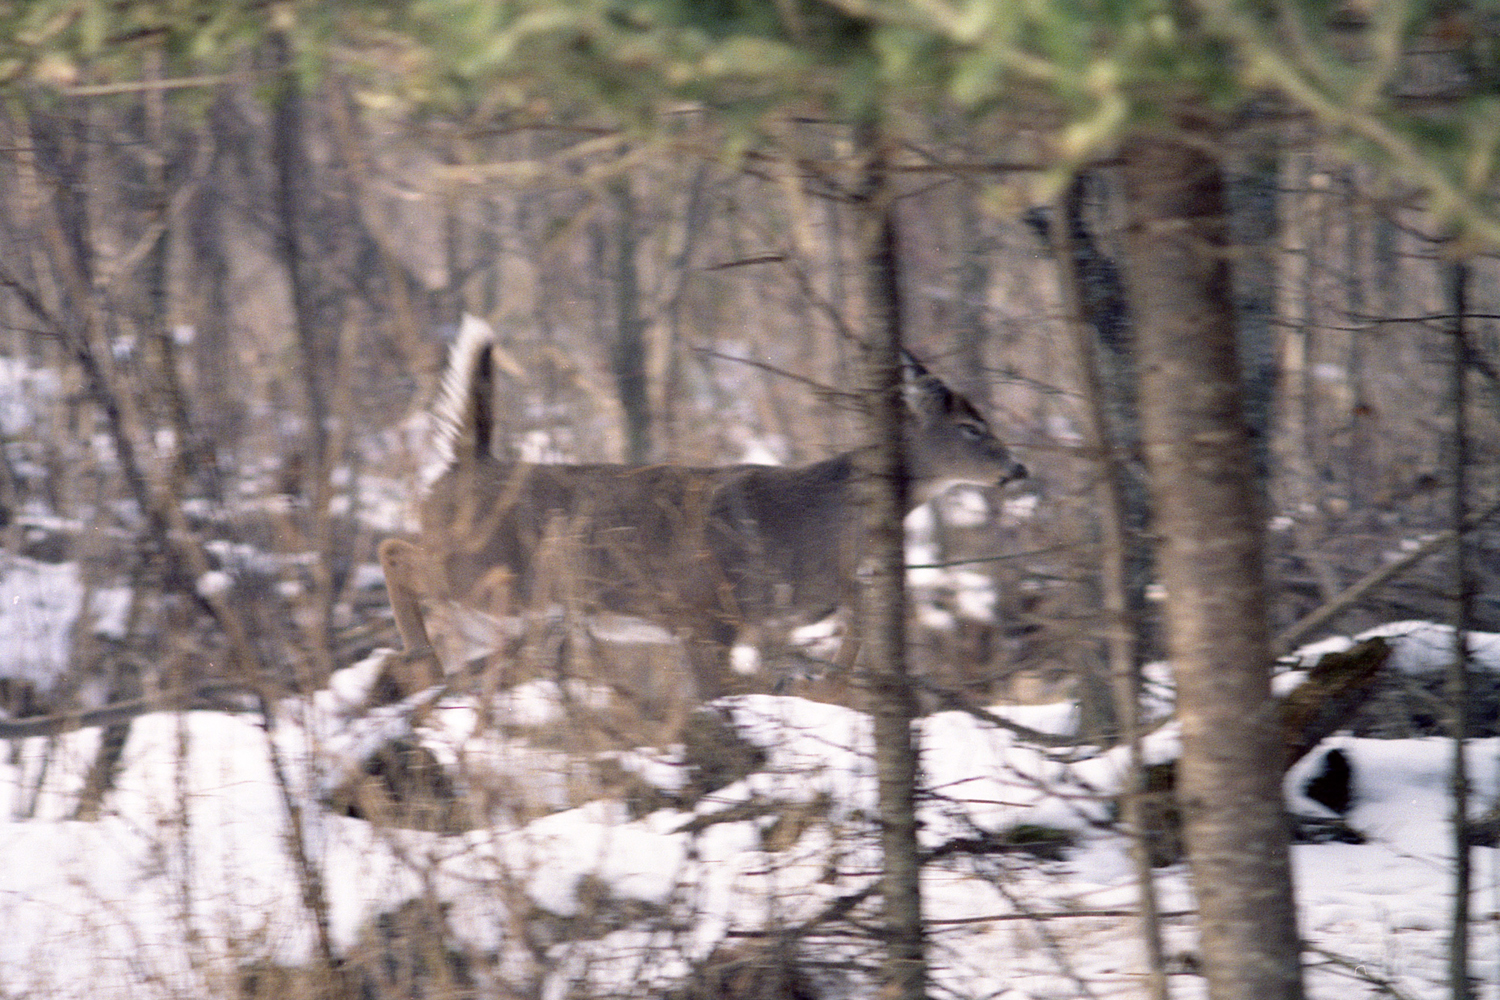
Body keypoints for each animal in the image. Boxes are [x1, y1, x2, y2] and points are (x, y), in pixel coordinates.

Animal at [377, 315, 1027, 702]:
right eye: (970, 427)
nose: (1017, 468)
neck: (820, 514)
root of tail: (465, 464)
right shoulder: (705, 607)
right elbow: (725, 686)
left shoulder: (775, 605)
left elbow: (851, 624)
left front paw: (824, 683)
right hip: (492, 572)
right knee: (394, 550)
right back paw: (421, 660)